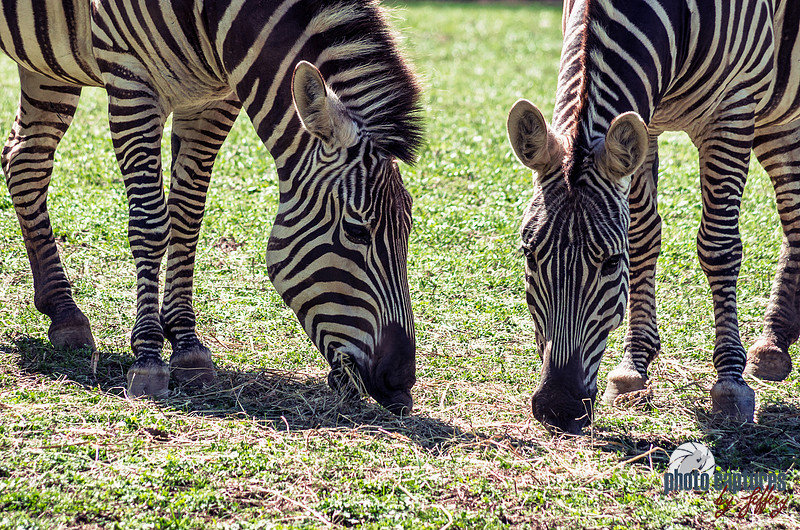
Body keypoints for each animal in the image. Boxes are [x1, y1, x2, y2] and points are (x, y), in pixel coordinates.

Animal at [0, 0, 423, 414]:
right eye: (356, 231)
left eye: (409, 232)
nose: (400, 387)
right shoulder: (129, 78)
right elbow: (151, 223)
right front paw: (149, 357)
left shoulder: (216, 99)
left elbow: (187, 216)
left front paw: (186, 346)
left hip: (48, 61)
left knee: (25, 162)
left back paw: (64, 313)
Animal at [506, 0, 800, 433]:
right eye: (529, 254)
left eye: (612, 264)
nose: (557, 408)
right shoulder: (645, 123)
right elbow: (643, 237)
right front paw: (633, 368)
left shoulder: (732, 108)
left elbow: (718, 245)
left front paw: (730, 383)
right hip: (776, 115)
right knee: (793, 211)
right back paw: (774, 343)